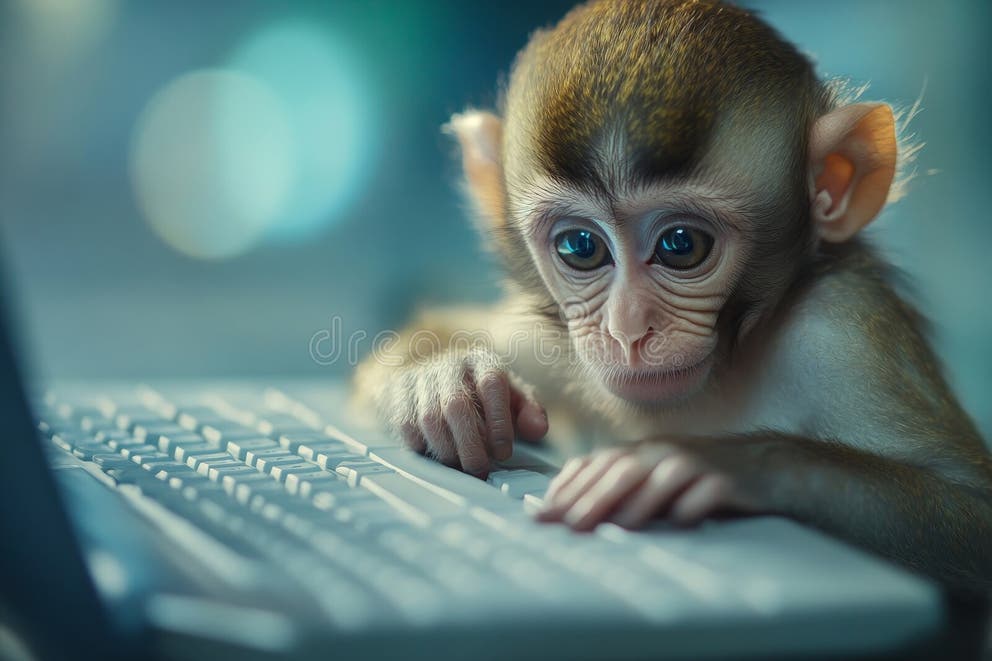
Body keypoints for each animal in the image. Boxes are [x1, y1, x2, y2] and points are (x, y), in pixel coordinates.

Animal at [352, 0, 992, 593]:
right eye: (581, 246)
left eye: (681, 244)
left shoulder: (844, 329)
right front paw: (442, 384)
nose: (628, 330)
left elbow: (972, 509)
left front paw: (710, 464)